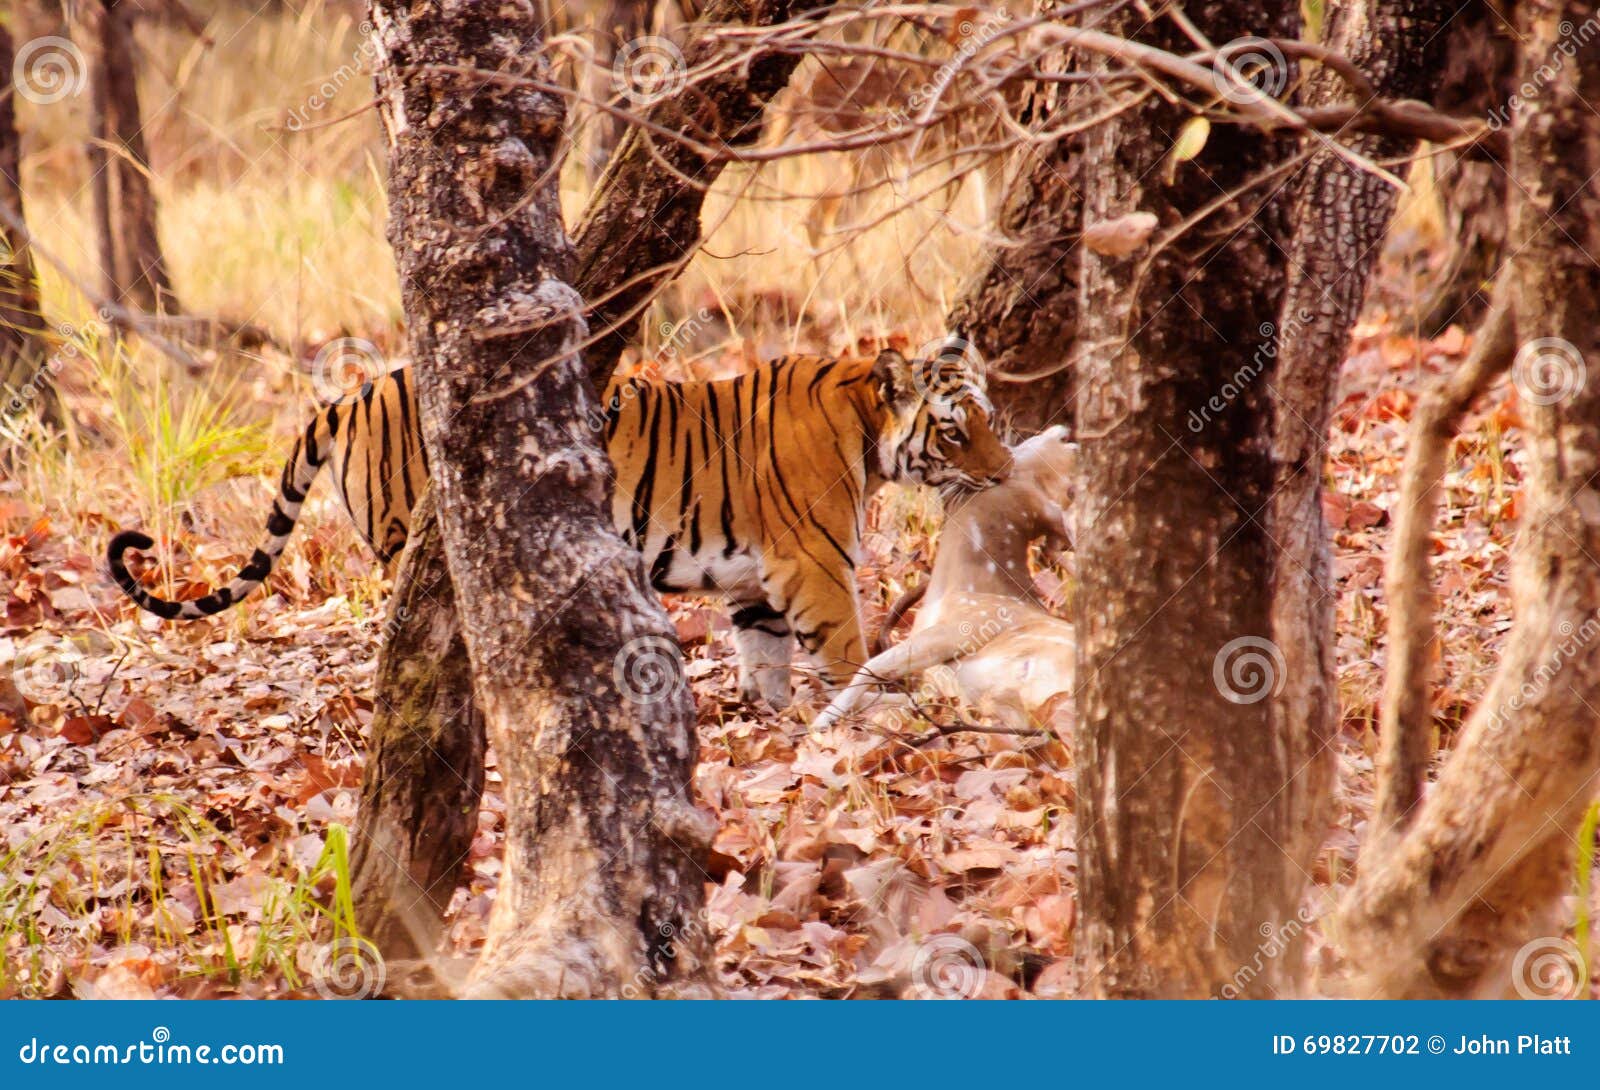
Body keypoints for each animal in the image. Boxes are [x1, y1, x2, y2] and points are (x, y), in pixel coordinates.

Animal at [108, 345, 1012, 707]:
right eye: (954, 432)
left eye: (991, 420)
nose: (1004, 475)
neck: (866, 428)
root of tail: (352, 391)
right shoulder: (813, 568)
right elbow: (855, 657)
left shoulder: (756, 584)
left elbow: (768, 667)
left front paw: (777, 728)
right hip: (419, 547)